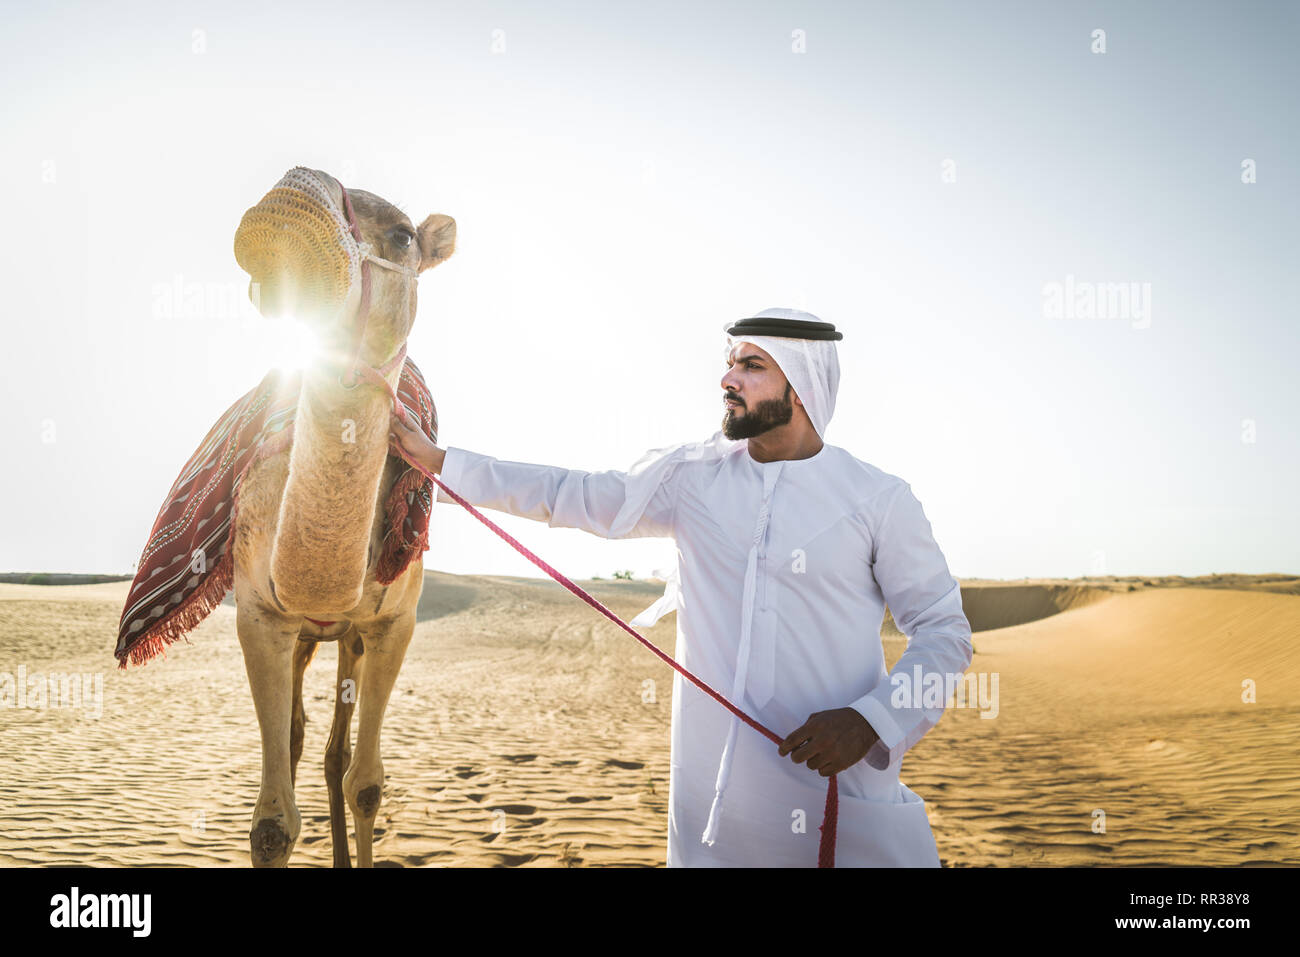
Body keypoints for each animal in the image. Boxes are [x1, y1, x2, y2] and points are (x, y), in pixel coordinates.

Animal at [229, 168, 455, 866]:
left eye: (404, 235)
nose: (296, 193)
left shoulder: (394, 624)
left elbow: (367, 785)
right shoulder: (261, 616)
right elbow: (272, 823)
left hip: (350, 635)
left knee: (336, 755)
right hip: (308, 636)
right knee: (304, 743)